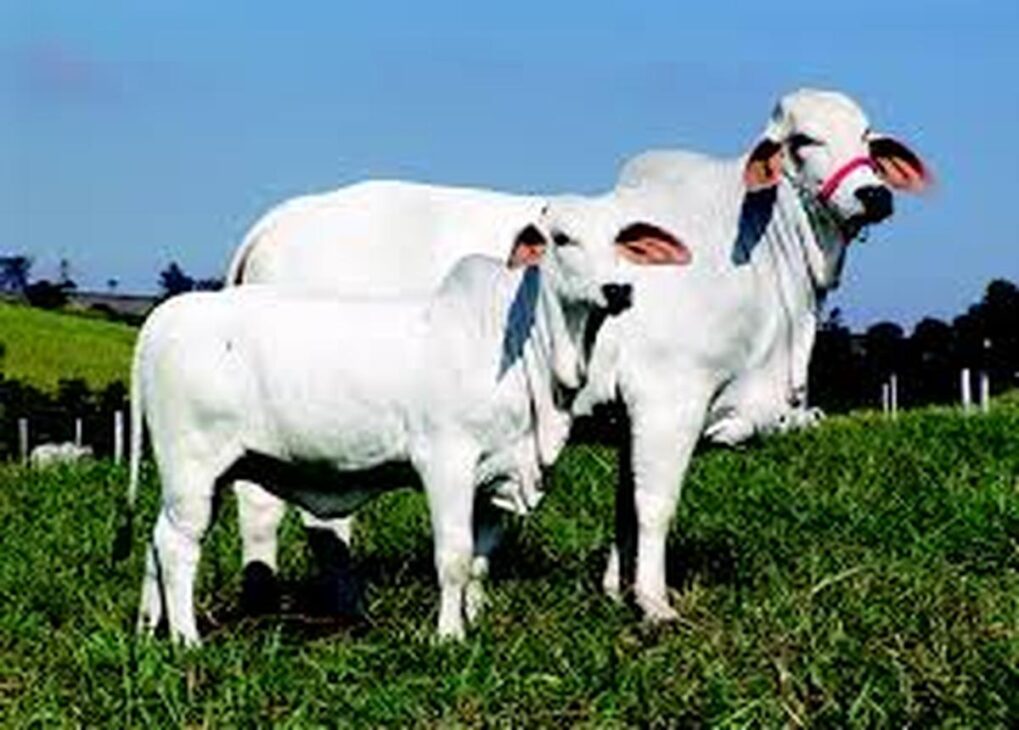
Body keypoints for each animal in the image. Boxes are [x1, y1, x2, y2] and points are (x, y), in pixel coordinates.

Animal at [118, 199, 690, 644]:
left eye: (623, 240)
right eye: (563, 238)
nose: (618, 289)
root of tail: (163, 319)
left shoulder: (496, 475)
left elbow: (482, 557)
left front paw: (475, 621)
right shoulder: (447, 462)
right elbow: (453, 555)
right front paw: (449, 637)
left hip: (203, 475)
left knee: (156, 538)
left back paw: (149, 630)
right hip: (192, 466)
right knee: (177, 545)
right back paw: (187, 641)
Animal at [225, 88, 930, 621]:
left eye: (868, 138)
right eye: (802, 140)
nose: (873, 196)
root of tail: (279, 219)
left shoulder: (629, 418)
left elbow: (626, 505)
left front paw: (618, 592)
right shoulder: (670, 400)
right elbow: (656, 504)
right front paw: (656, 605)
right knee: (289, 513)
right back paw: (320, 605)